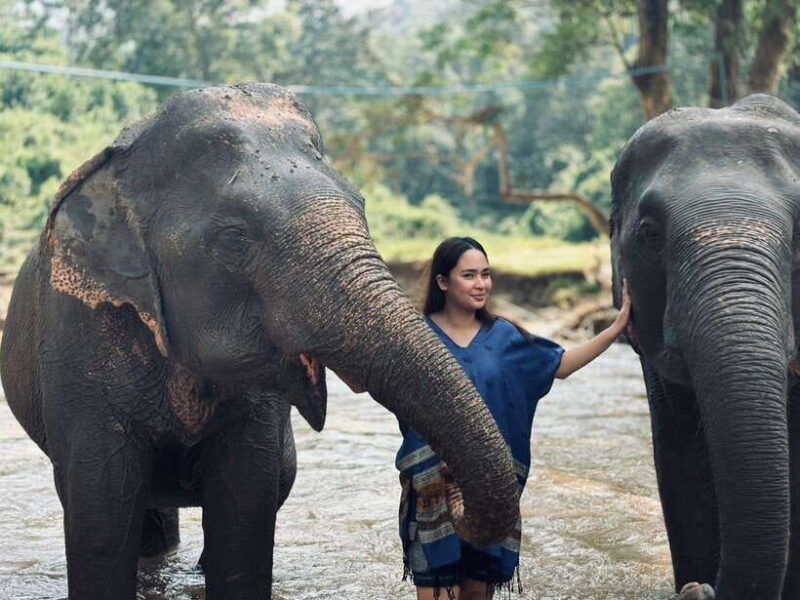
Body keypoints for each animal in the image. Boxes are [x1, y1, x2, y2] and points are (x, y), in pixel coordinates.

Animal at [0, 83, 518, 600]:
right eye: (235, 237)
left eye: (362, 206)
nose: (452, 496)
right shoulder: (80, 340)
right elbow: (102, 518)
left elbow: (243, 509)